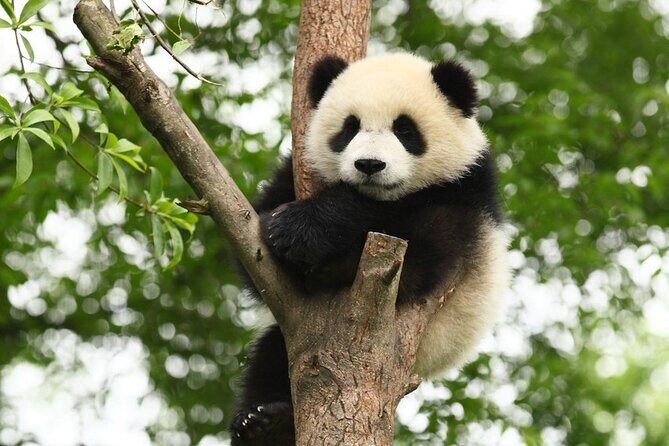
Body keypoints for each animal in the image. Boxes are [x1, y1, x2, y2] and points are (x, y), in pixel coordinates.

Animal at [230, 52, 510, 445]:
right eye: (350, 127)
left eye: (405, 130)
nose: (370, 165)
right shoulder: (293, 173)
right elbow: (253, 256)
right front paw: (282, 233)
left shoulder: (464, 188)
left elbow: (393, 217)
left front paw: (297, 229)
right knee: (272, 355)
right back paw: (261, 424)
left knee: (427, 251)